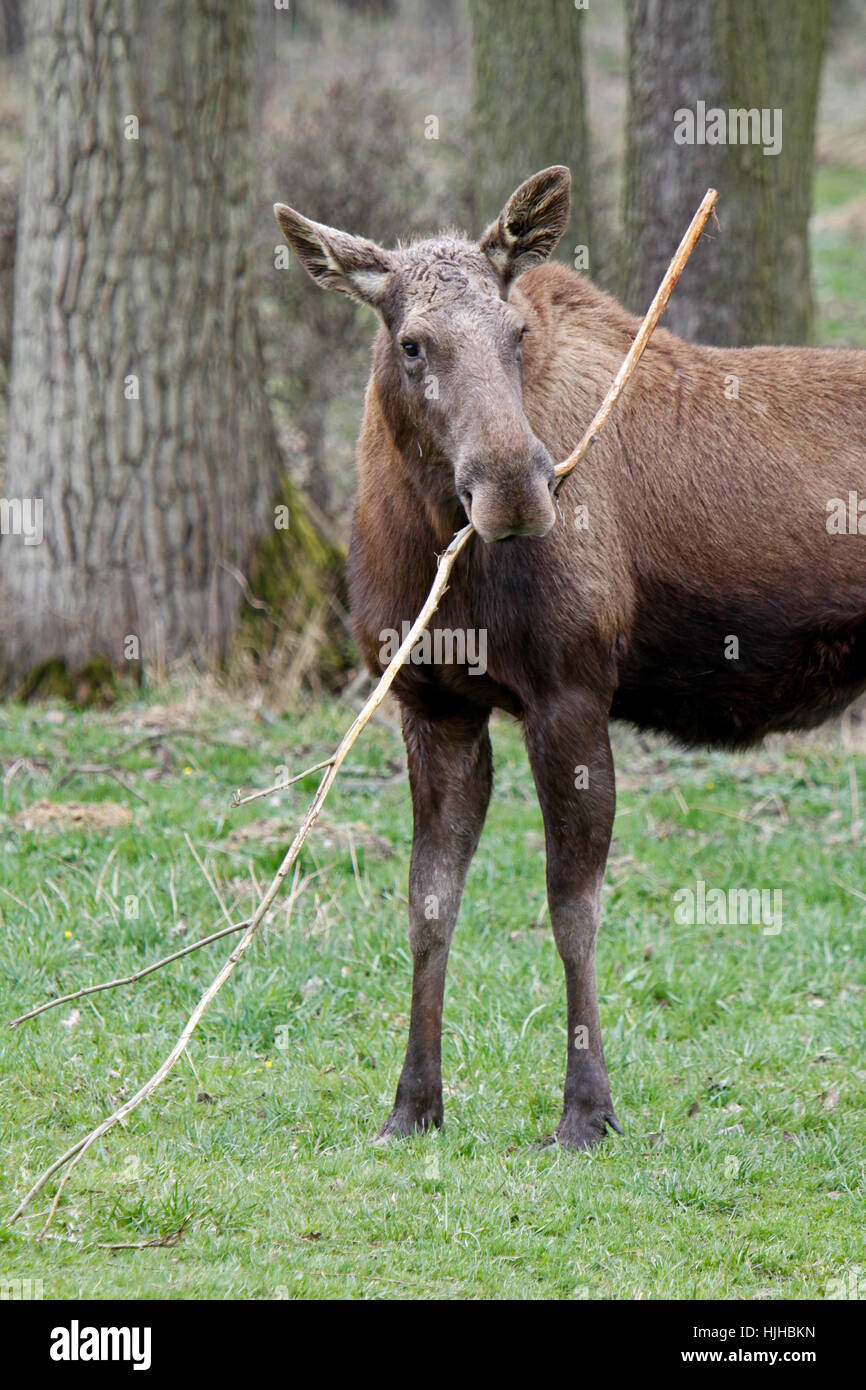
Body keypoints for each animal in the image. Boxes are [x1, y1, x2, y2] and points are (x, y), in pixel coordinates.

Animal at [275, 166, 866, 1150]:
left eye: (515, 333)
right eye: (410, 343)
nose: (517, 486)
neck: (425, 541)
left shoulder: (573, 690)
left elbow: (572, 908)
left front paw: (587, 1110)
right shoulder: (433, 702)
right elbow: (428, 904)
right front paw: (413, 1104)